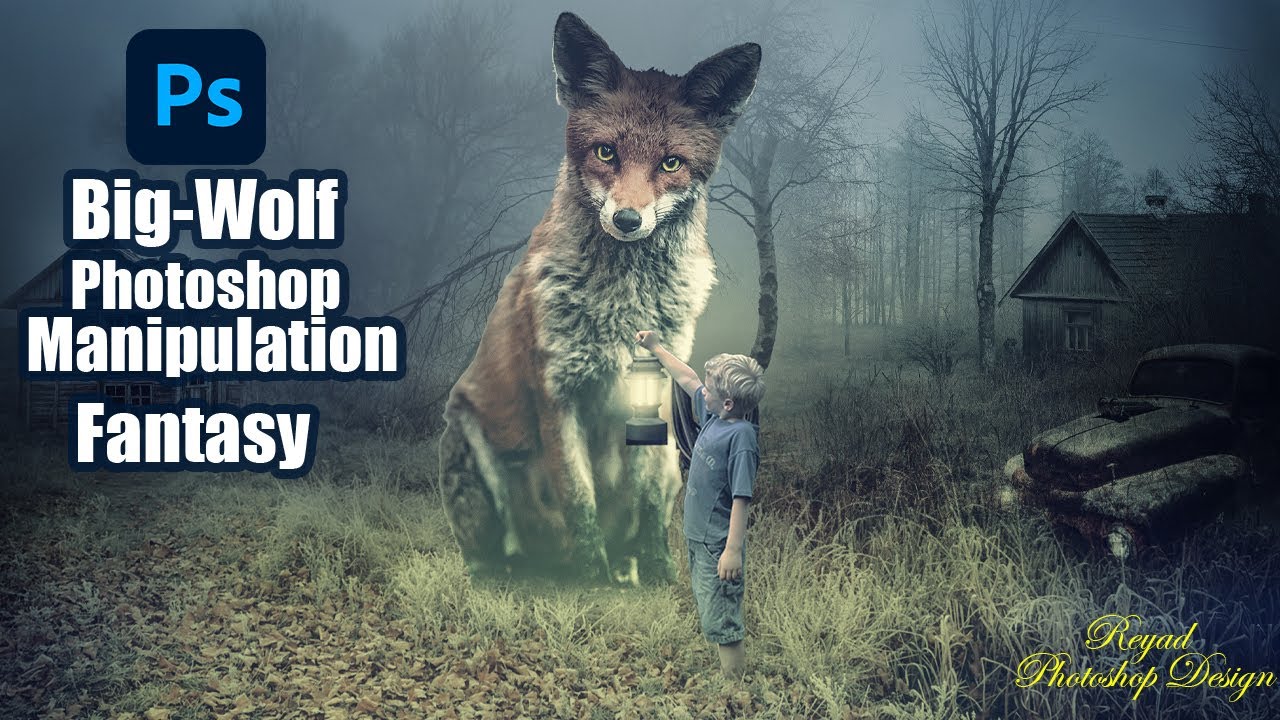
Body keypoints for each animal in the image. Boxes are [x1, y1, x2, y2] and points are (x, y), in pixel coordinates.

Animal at [438, 12, 760, 584]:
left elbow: (648, 496)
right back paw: (518, 571)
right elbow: (578, 497)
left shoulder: (655, 396)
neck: (622, 305)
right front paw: (591, 577)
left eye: (671, 163)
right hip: (467, 436)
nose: (627, 219)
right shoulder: (557, 391)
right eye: (606, 152)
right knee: (496, 548)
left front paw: (657, 571)